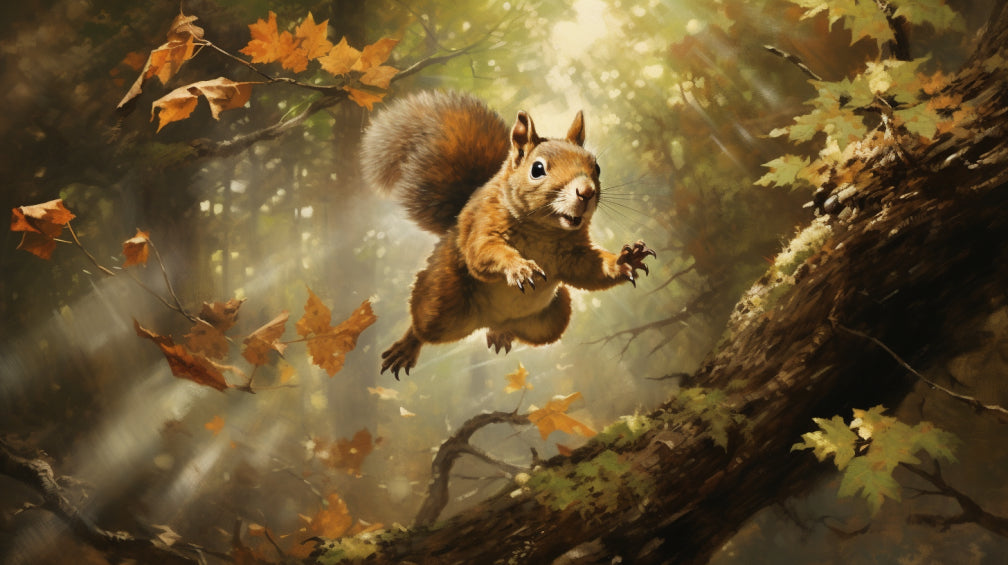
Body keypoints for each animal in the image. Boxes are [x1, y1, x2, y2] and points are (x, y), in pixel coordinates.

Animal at [360, 90, 655, 378]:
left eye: (597, 167)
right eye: (537, 169)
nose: (586, 192)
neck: (543, 230)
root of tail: (489, 320)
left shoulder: (573, 255)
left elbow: (590, 269)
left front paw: (625, 261)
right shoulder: (483, 226)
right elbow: (483, 252)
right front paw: (519, 267)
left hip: (553, 318)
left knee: (524, 330)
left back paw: (502, 333)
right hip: (441, 301)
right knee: (423, 326)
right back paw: (407, 346)